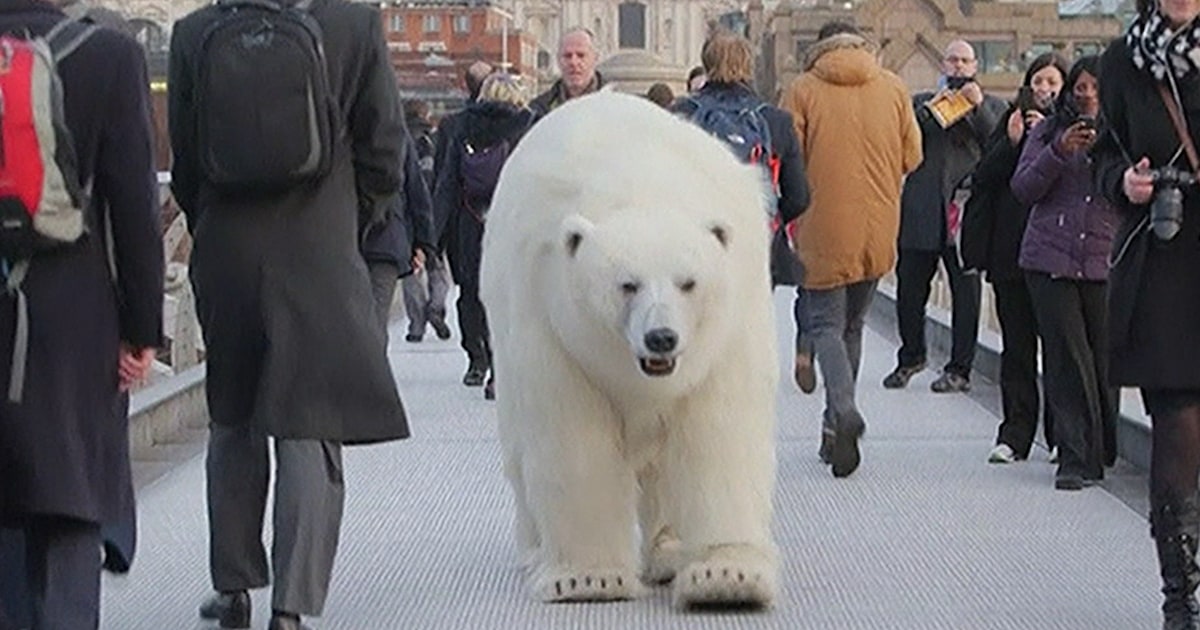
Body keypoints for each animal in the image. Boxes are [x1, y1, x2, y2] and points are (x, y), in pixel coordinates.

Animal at [479, 91, 779, 609]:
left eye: (688, 282)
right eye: (627, 285)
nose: (661, 337)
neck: (642, 181)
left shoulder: (728, 328)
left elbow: (719, 432)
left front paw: (728, 576)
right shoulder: (553, 323)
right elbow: (574, 442)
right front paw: (587, 579)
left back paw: (670, 552)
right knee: (520, 453)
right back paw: (537, 553)